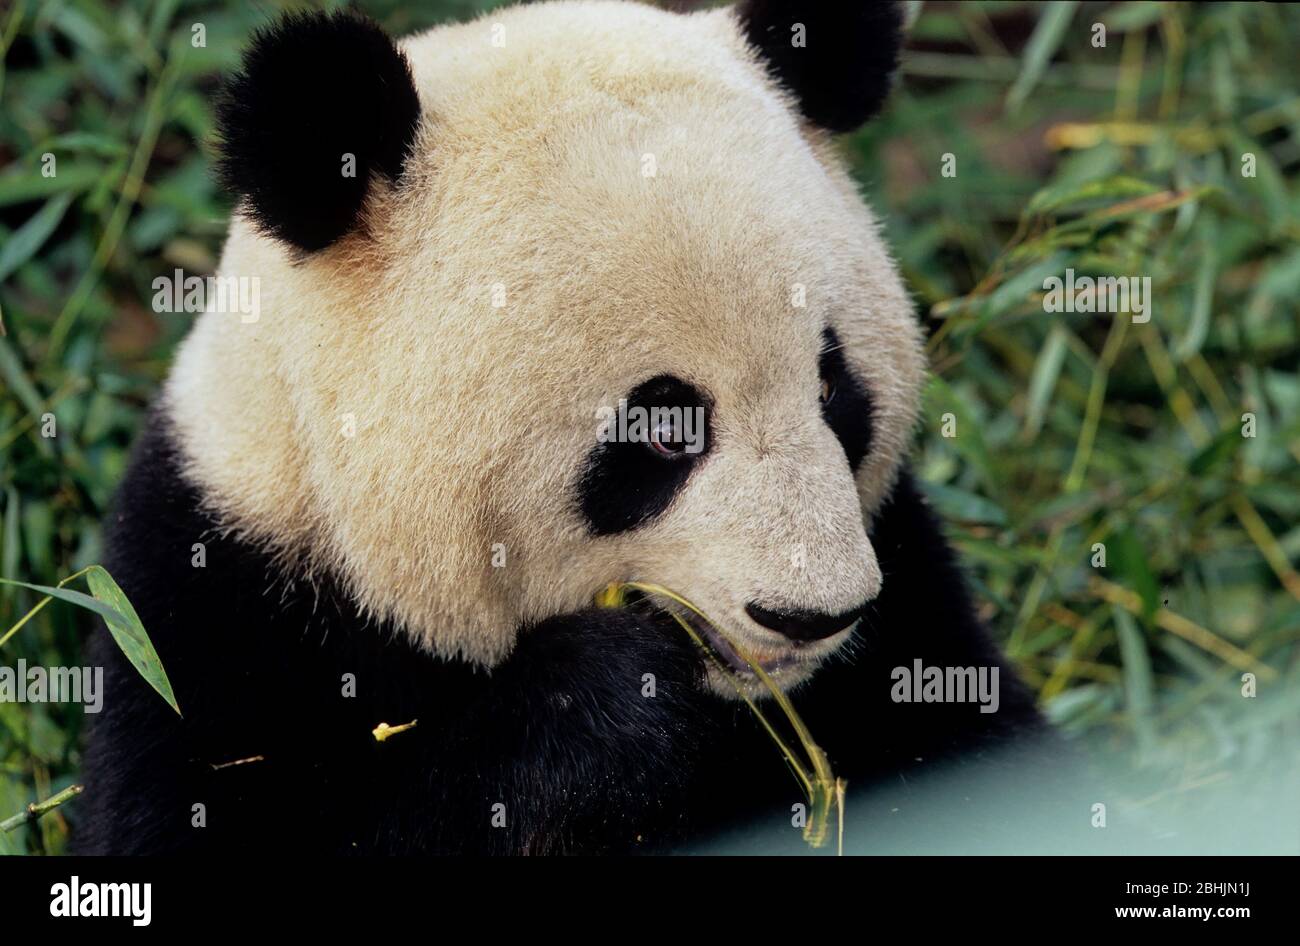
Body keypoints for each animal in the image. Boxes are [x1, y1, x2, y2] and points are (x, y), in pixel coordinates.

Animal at [78, 1, 1062, 855]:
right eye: (664, 427)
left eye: (831, 386)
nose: (813, 615)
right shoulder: (219, 598)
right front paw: (616, 701)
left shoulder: (907, 584)